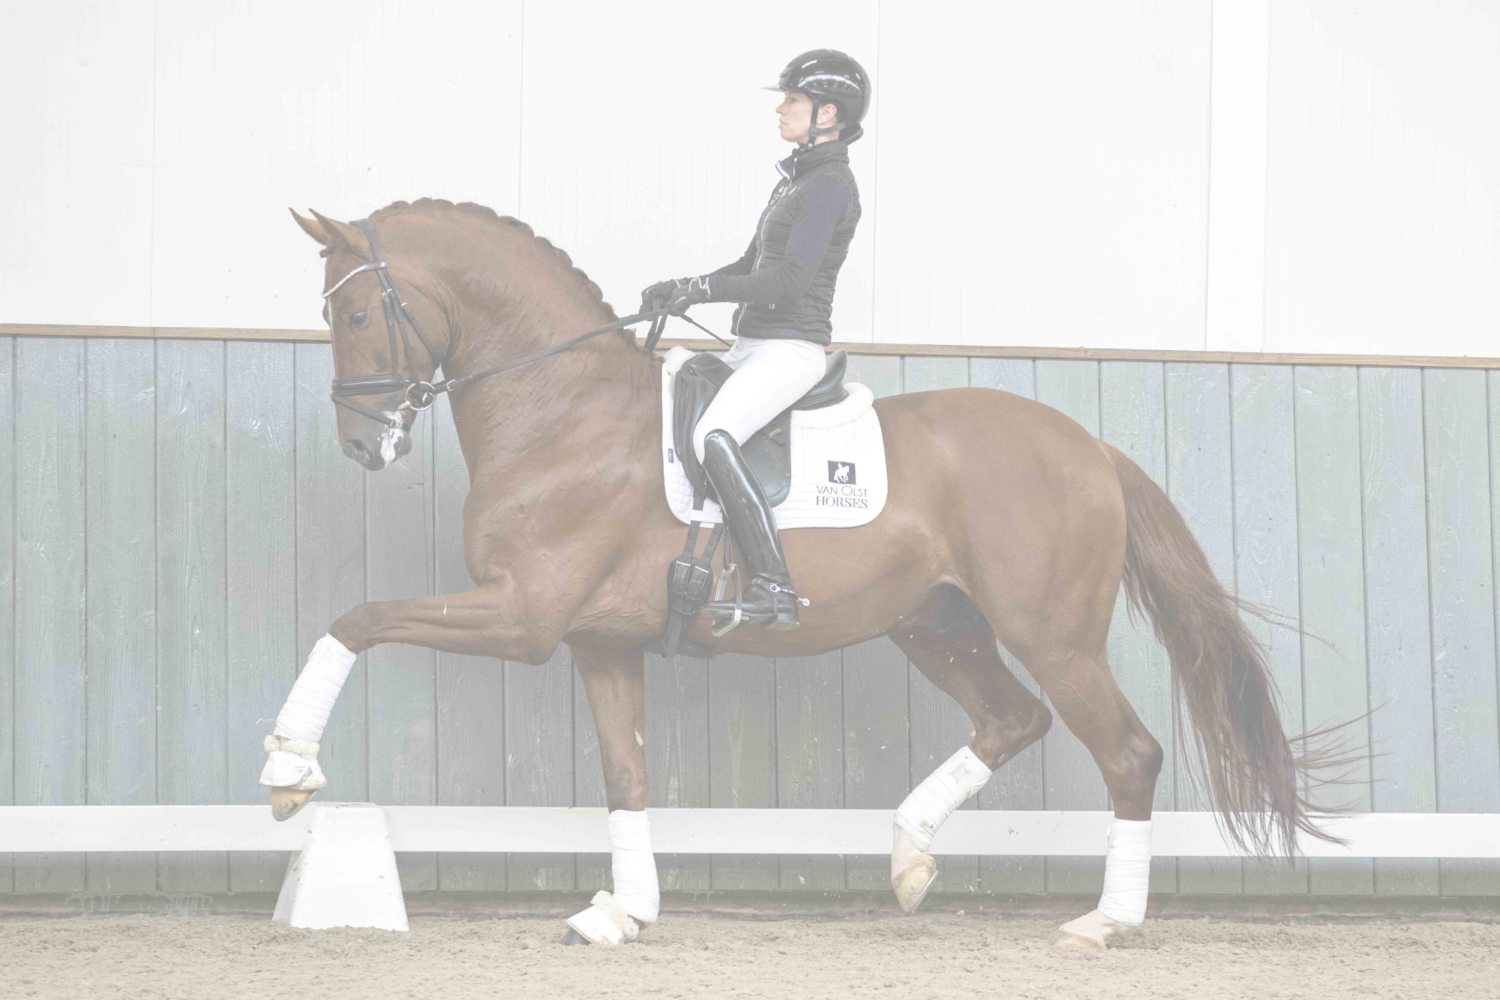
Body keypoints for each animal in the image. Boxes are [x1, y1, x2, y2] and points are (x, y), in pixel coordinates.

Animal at [268, 197, 1338, 950]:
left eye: (355, 311)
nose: (366, 445)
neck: (561, 407)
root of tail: (1089, 447)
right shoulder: (598, 641)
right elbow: (627, 774)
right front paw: (623, 912)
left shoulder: (523, 617)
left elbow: (356, 617)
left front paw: (290, 768)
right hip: (937, 626)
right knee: (1010, 721)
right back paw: (908, 860)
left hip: (1053, 634)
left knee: (1127, 752)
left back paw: (1102, 920)